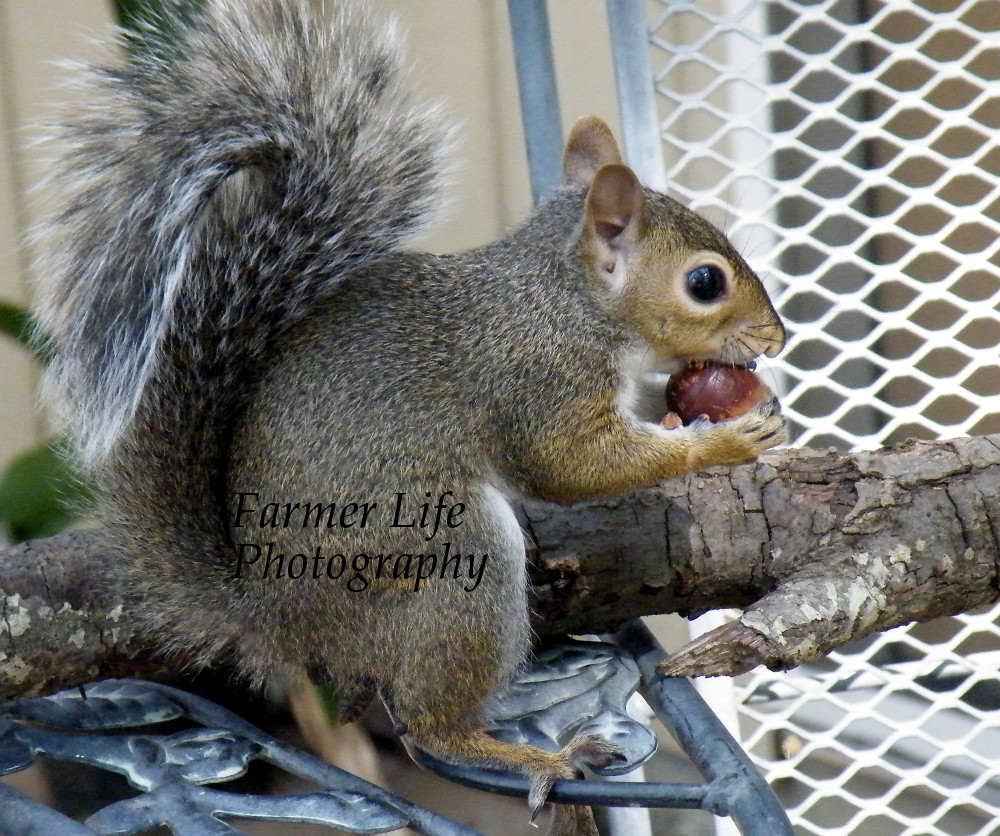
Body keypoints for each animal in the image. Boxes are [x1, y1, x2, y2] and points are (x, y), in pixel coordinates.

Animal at [33, 0, 786, 834]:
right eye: (705, 283)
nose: (776, 338)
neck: (567, 300)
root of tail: (278, 617)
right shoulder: (539, 382)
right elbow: (567, 469)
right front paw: (720, 443)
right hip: (451, 559)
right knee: (429, 727)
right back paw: (531, 757)